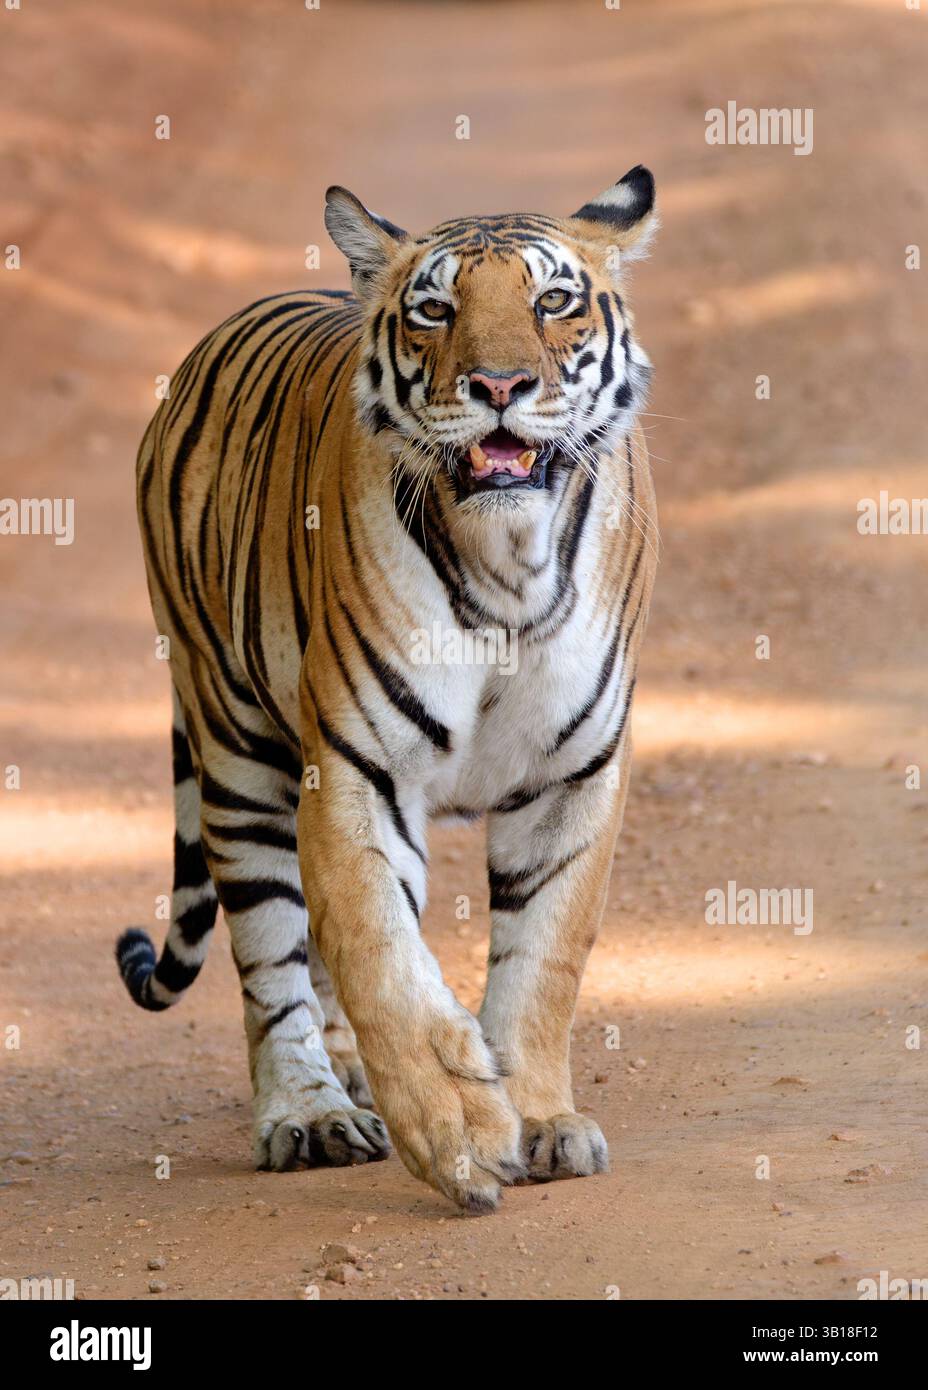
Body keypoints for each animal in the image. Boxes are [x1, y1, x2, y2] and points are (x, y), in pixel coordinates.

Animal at [115, 166, 659, 1213]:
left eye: (552, 301)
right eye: (435, 311)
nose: (500, 387)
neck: (507, 563)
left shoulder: (575, 774)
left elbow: (543, 961)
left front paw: (538, 1119)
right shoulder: (358, 769)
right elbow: (381, 955)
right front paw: (459, 1132)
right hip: (237, 752)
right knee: (274, 956)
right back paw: (310, 1113)